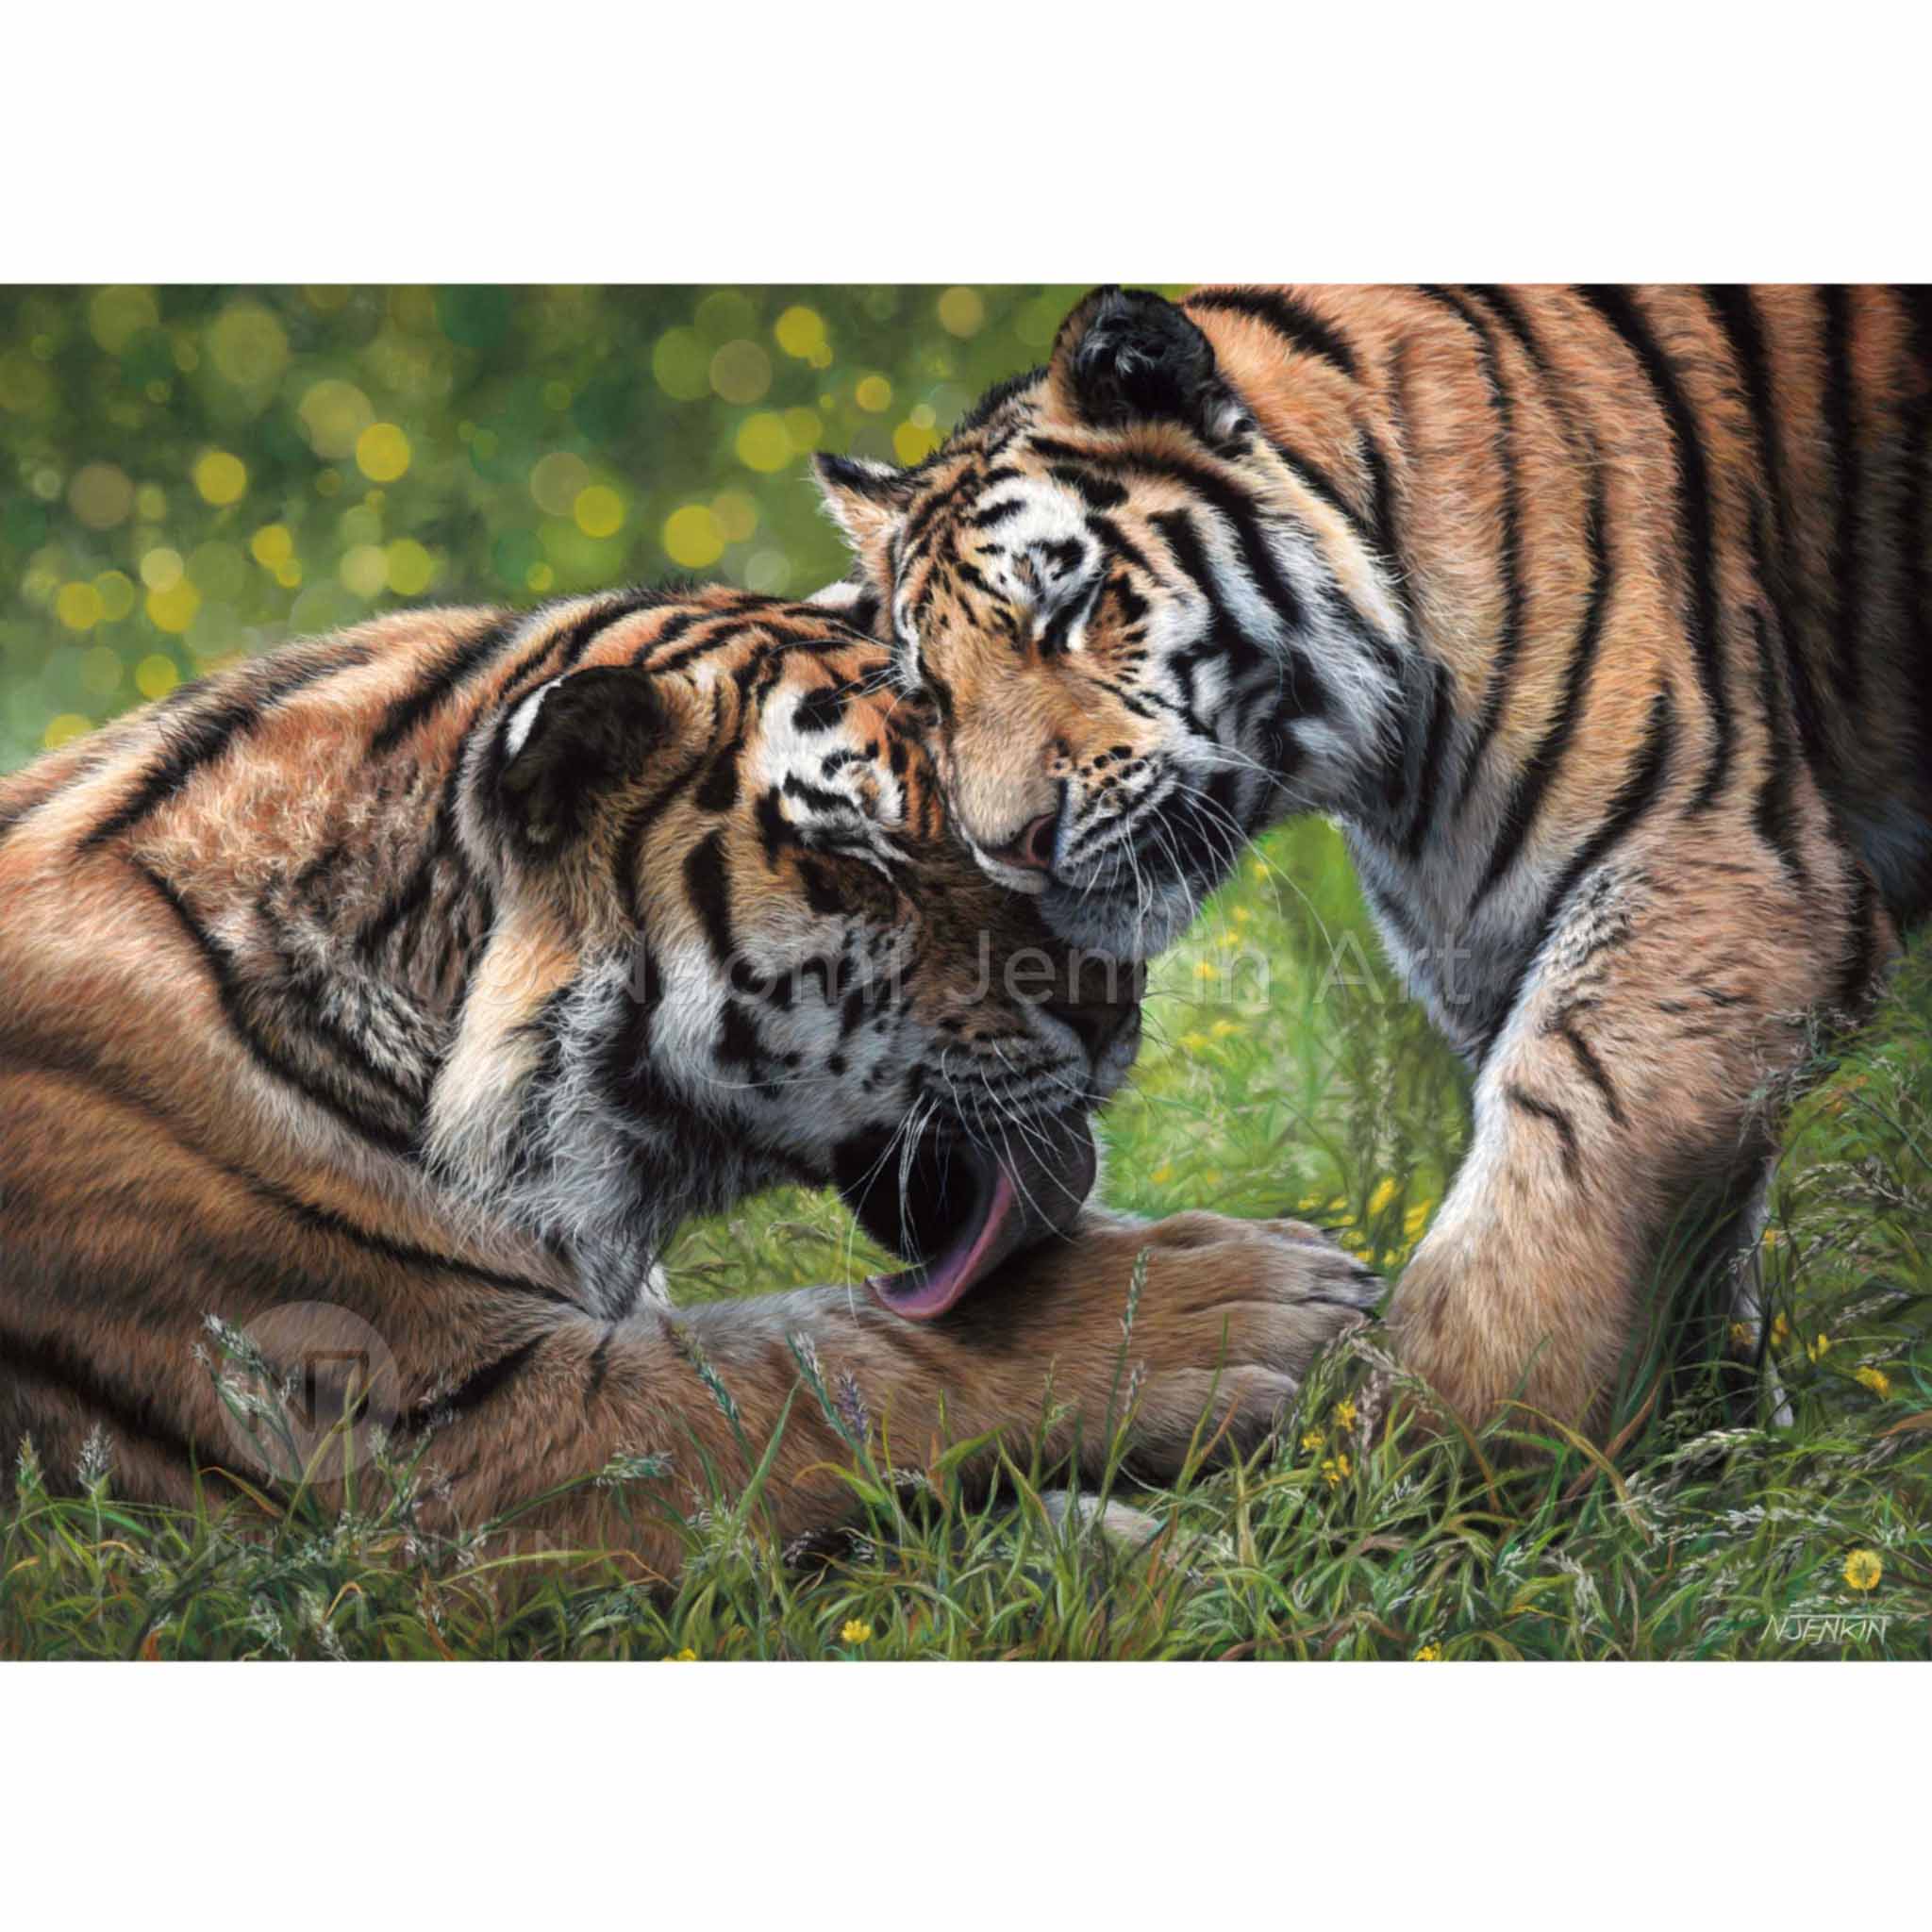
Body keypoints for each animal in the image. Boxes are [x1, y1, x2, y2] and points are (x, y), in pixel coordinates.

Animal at [0, 582, 1376, 1575]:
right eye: (863, 861)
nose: (1112, 1007)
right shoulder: (421, 1441)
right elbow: (814, 1358)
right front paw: (1238, 1298)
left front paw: (1166, 1558)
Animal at [812, 283, 1932, 1443]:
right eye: (930, 694)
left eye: (1066, 613)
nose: (1008, 846)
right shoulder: (1495, 937)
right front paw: (1702, 1433)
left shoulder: (1716, 857)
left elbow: (1564, 1132)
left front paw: (1446, 1438)